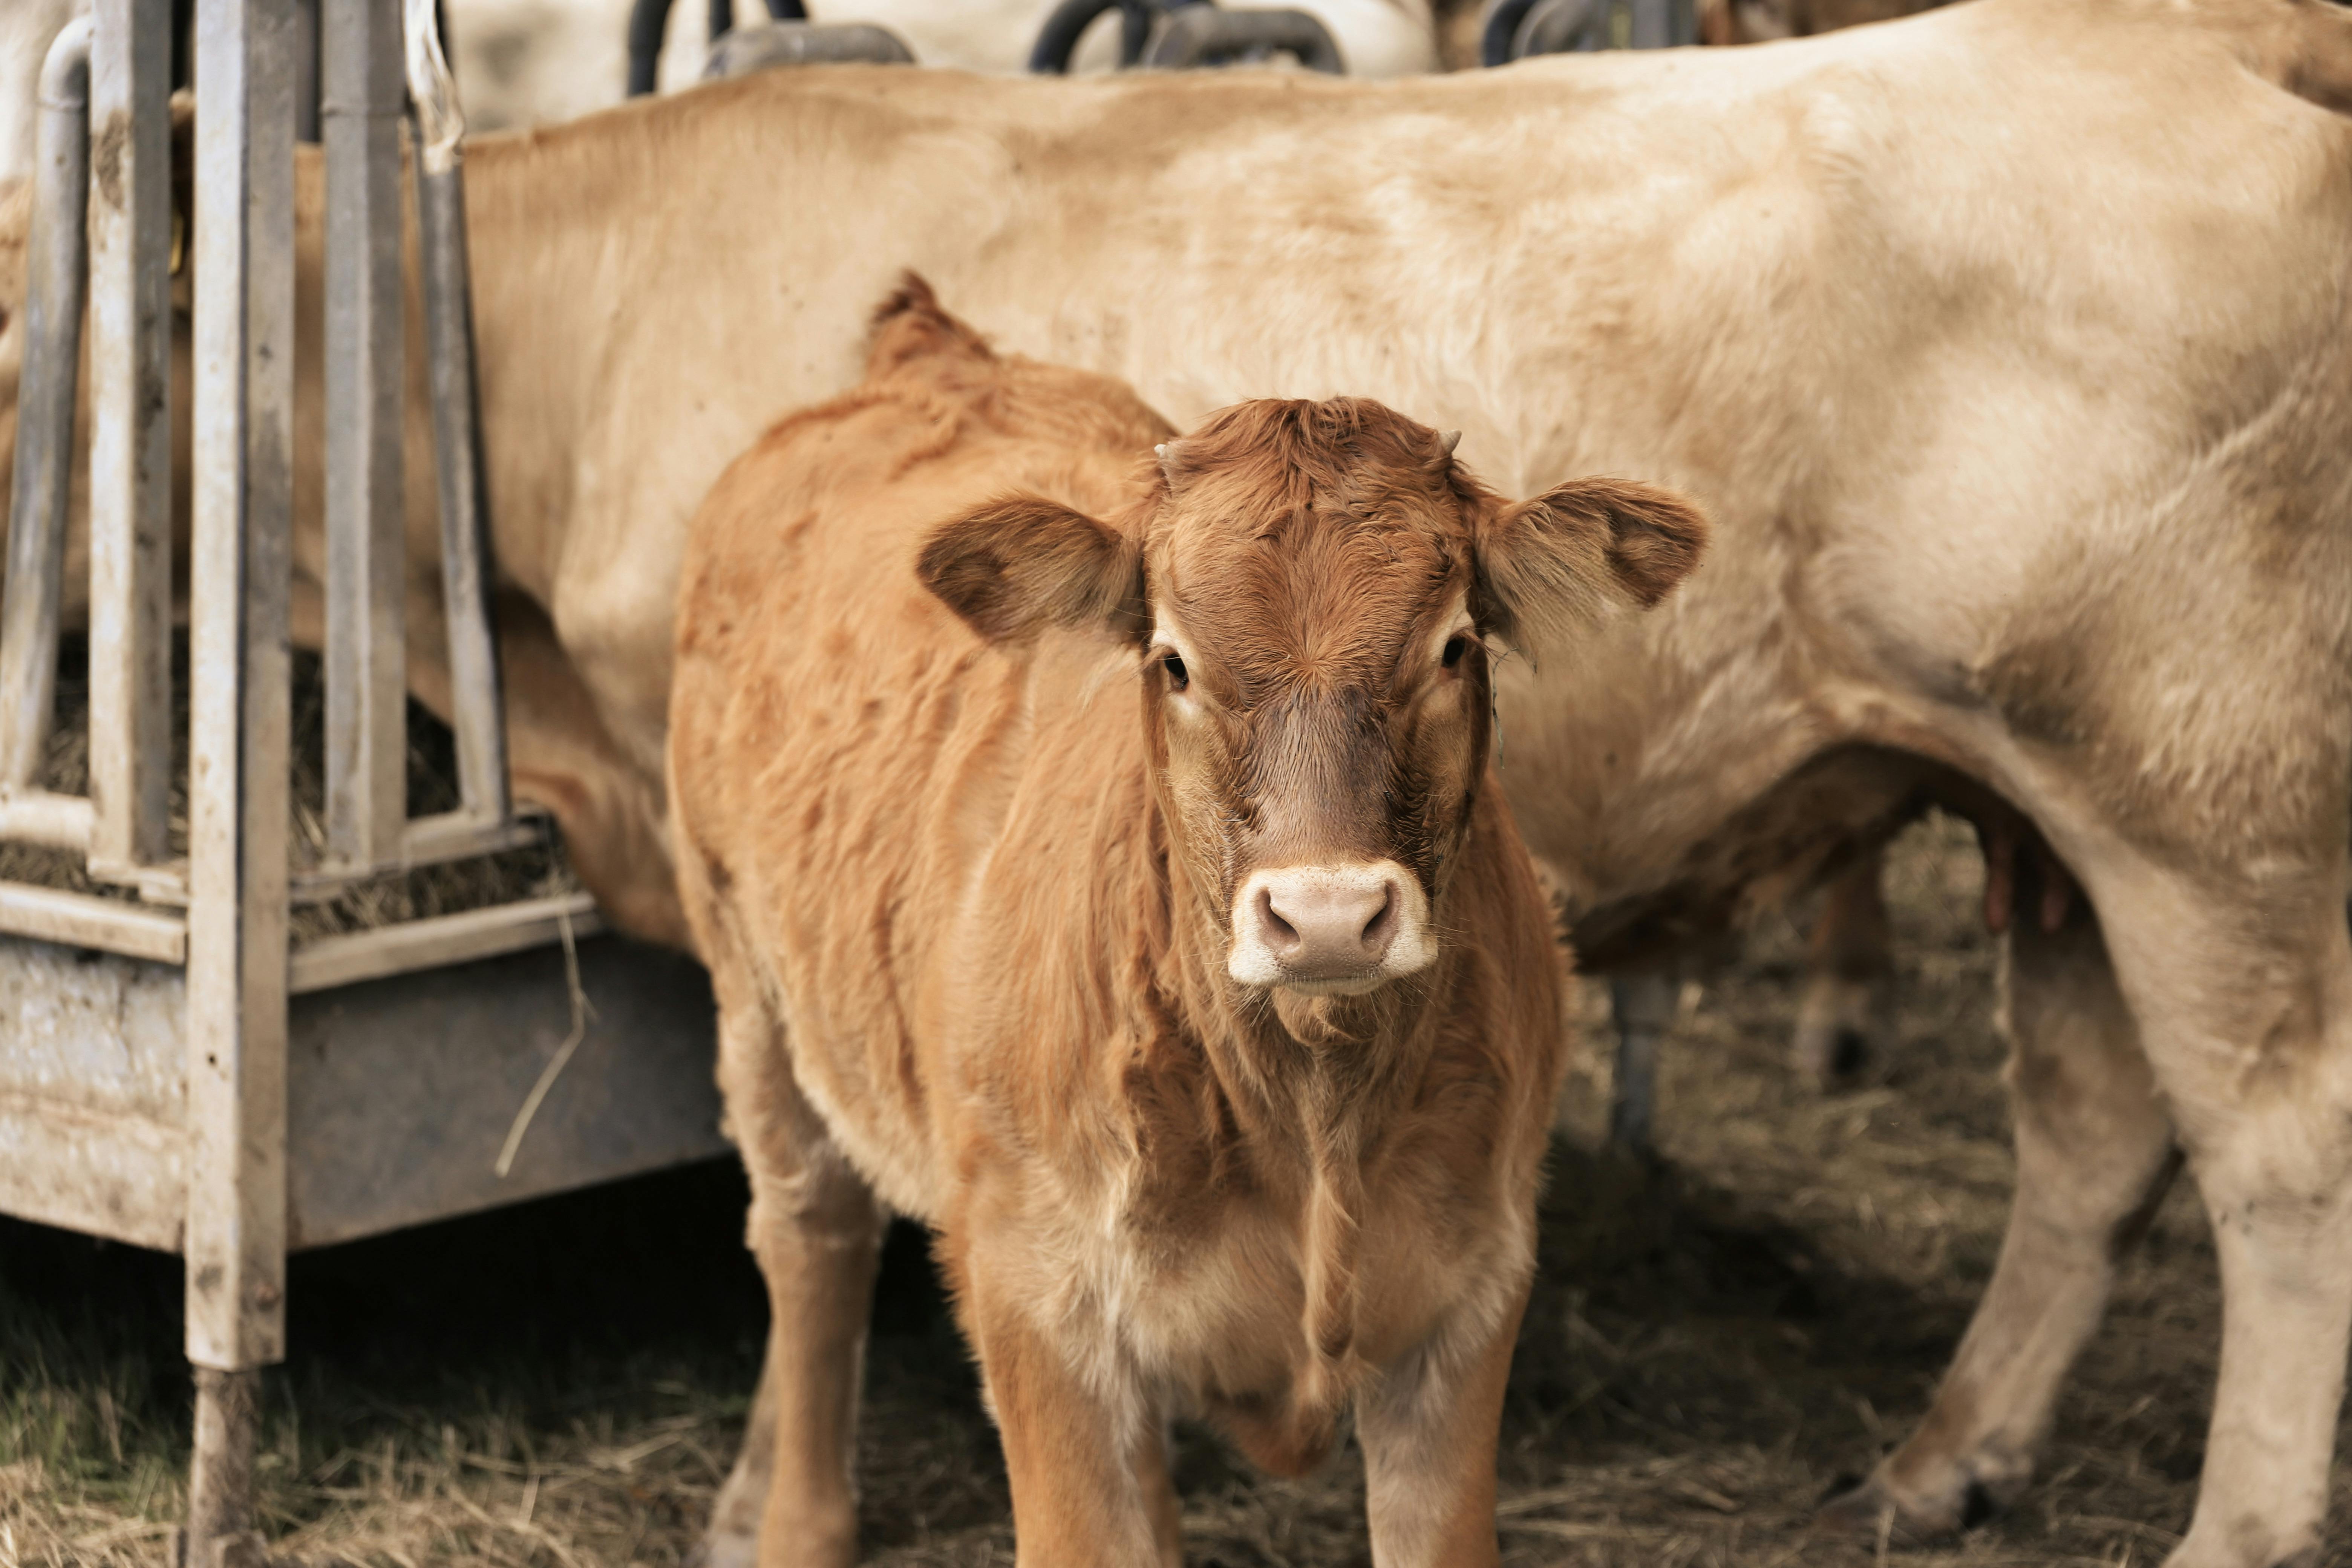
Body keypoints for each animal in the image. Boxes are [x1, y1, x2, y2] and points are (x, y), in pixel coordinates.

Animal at [667, 278, 1705, 1568]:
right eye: (1172, 661)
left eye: (1456, 646)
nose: (1327, 915)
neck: (1311, 1111)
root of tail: (933, 354)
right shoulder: (1037, 1300)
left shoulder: (1469, 1301)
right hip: (748, 979)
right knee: (811, 1229)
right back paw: (790, 1518)